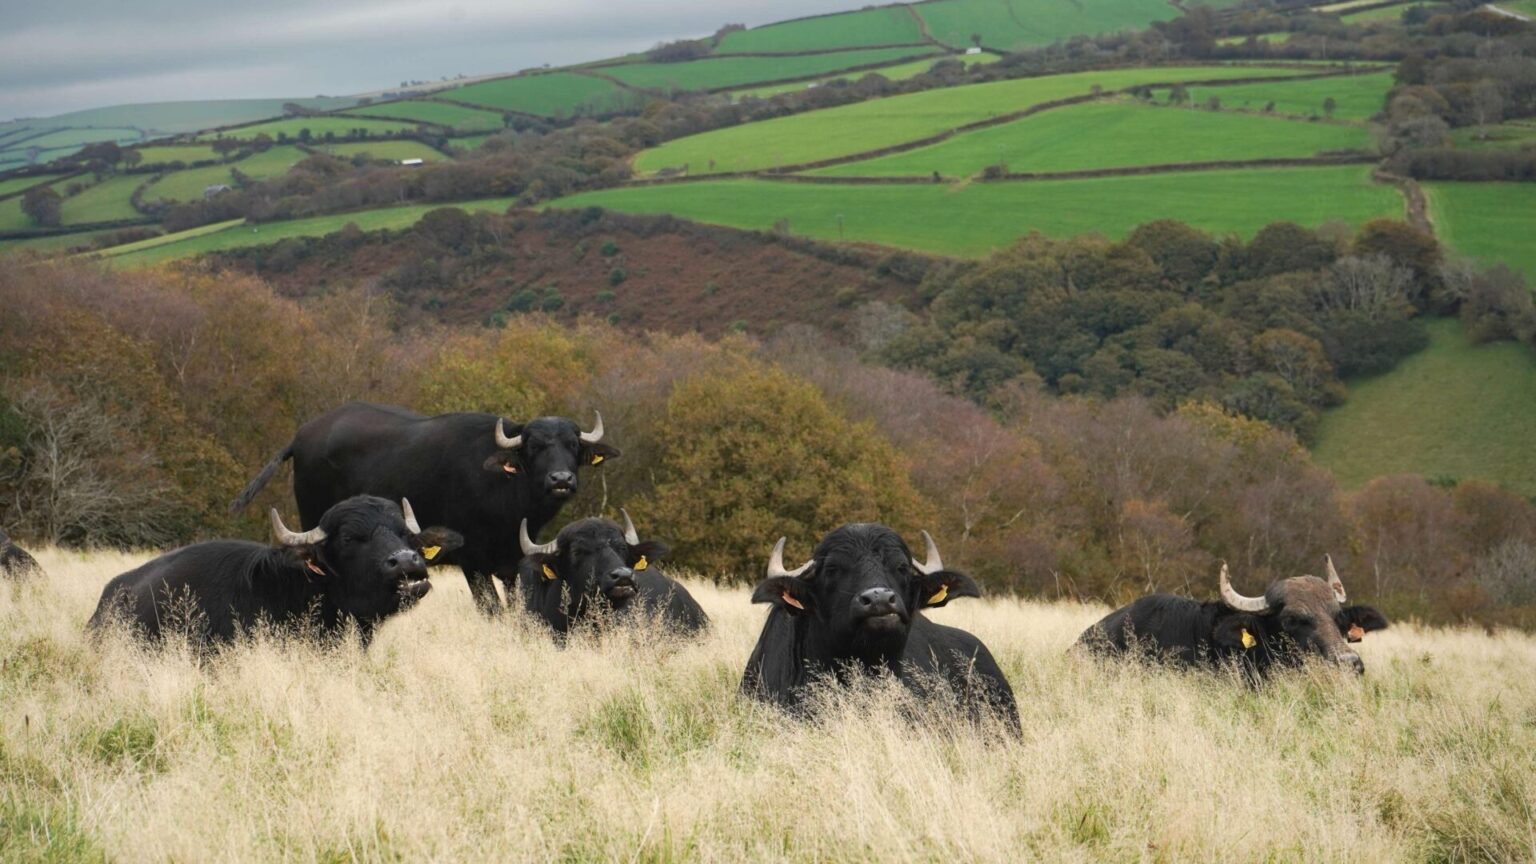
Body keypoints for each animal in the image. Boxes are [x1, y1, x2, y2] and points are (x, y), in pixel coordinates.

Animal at [230, 402, 618, 615]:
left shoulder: (510, 562)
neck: (506, 494)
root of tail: (301, 436)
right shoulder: (472, 563)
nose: (561, 479)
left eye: (572, 446)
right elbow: (491, 610)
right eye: (534, 446)